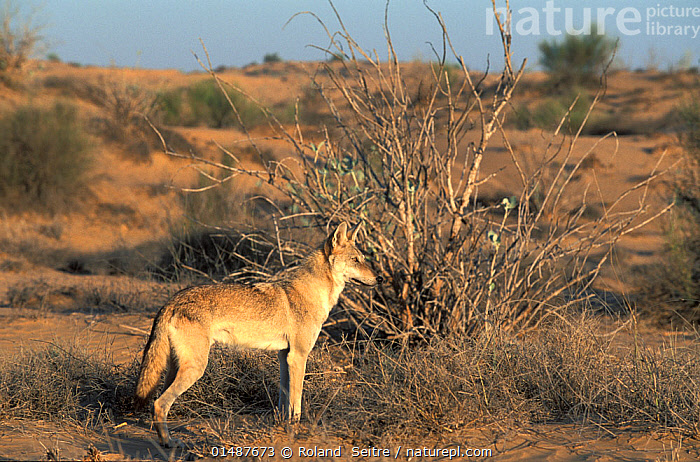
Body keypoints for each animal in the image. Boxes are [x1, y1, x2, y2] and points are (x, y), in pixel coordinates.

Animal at [134, 222, 381, 447]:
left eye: (362, 258)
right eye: (356, 260)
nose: (379, 279)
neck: (315, 293)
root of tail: (171, 301)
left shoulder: (285, 357)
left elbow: (284, 400)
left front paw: (282, 427)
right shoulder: (299, 356)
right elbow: (297, 404)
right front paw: (295, 432)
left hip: (176, 368)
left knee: (157, 402)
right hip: (195, 368)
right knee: (159, 403)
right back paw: (169, 443)